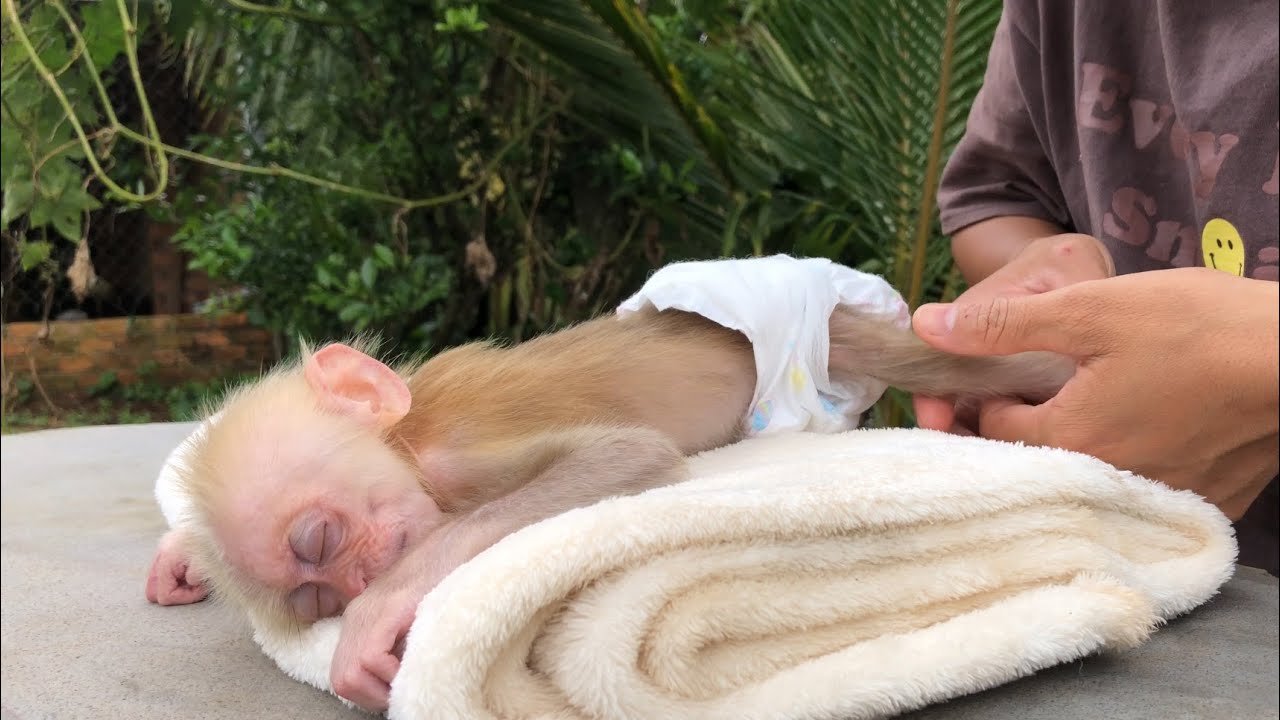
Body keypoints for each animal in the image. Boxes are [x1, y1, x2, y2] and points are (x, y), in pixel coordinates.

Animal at [144, 260, 1075, 711]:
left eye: (321, 543)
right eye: (313, 595)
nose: (360, 577)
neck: (412, 437)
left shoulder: (458, 457)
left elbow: (625, 454)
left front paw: (386, 607)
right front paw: (180, 554)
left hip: (826, 320)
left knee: (950, 360)